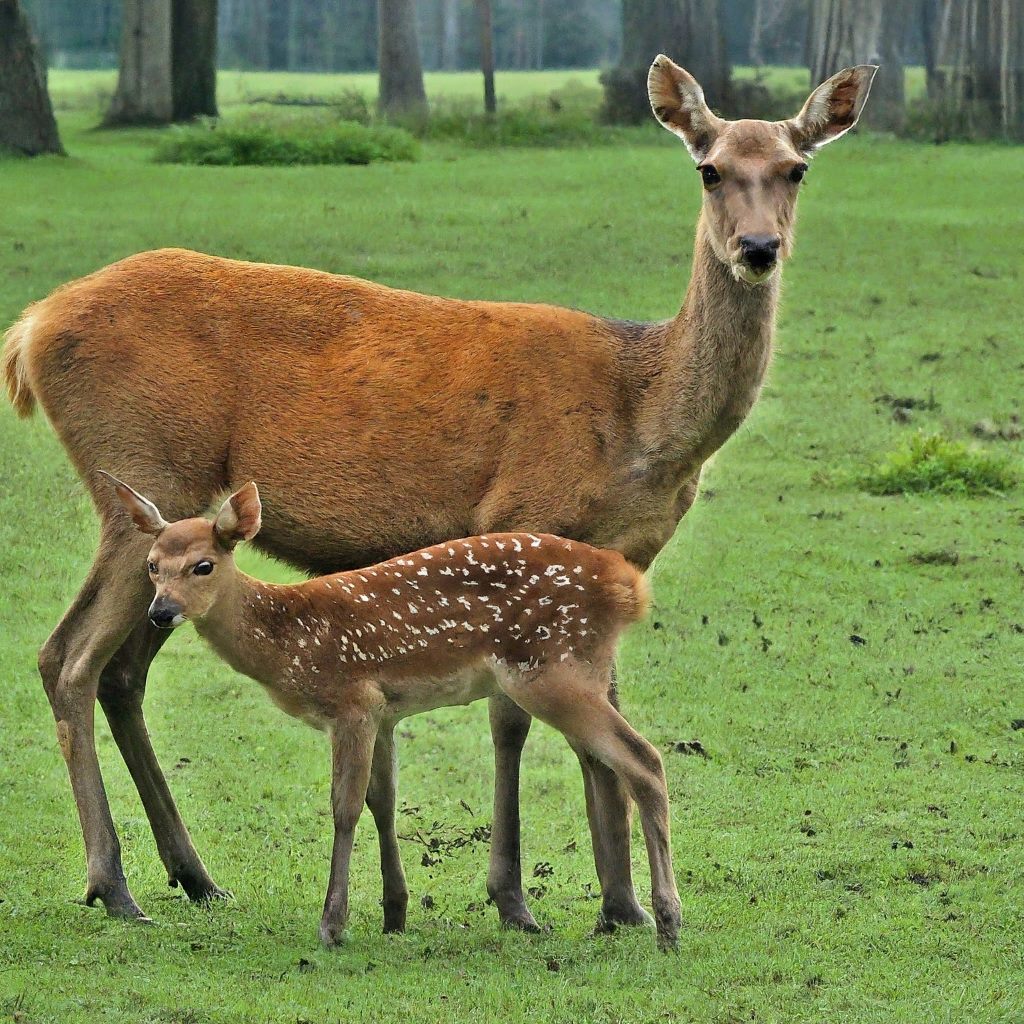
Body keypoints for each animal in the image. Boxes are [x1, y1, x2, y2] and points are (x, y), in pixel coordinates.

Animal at [101, 473, 680, 949]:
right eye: (152, 566)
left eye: (203, 565)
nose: (160, 611)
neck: (288, 640)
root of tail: (628, 584)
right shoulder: (383, 710)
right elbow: (383, 799)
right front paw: (392, 915)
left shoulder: (352, 701)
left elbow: (344, 806)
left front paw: (332, 924)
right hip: (578, 669)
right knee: (622, 761)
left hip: (550, 669)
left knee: (644, 759)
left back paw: (668, 924)